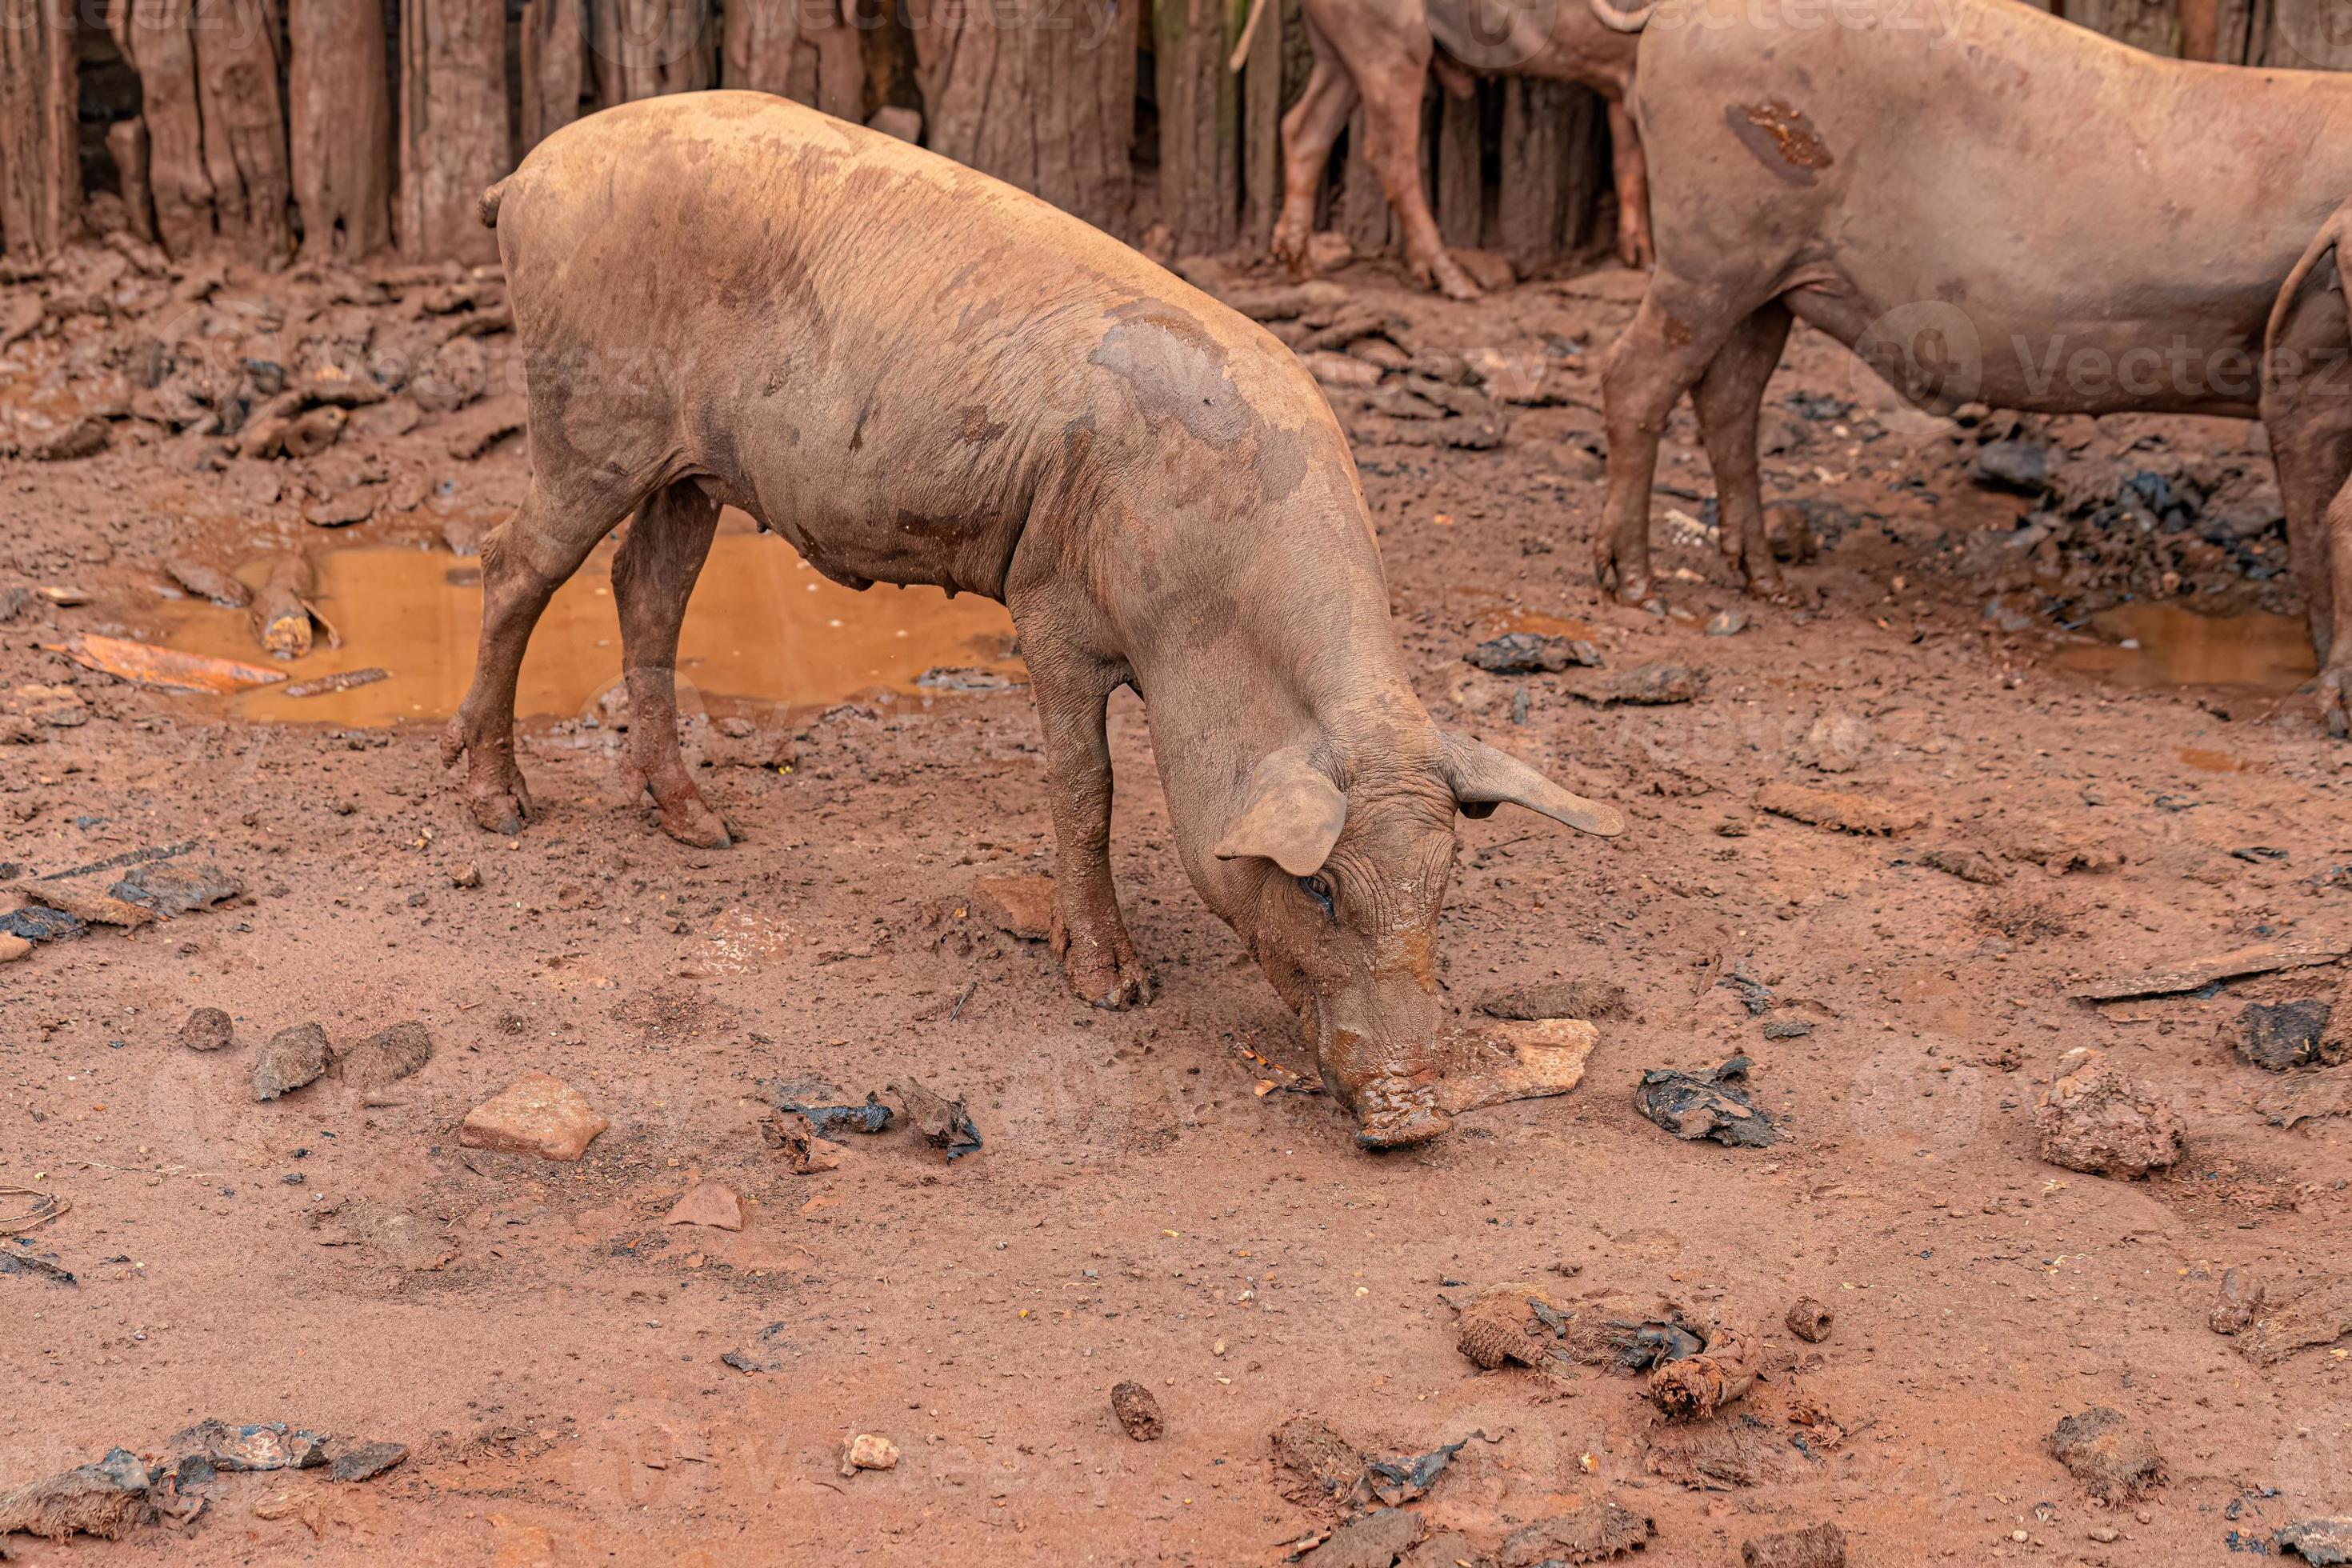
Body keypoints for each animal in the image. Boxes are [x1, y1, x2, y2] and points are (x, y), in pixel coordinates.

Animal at [442, 91, 1626, 1148]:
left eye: (1444, 885)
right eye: (1324, 891)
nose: (1413, 1118)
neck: (1212, 622)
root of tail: (531, 173)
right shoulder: (1050, 599)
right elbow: (1085, 787)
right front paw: (1115, 990)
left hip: (692, 466)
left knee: (646, 587)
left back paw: (702, 826)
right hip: (586, 418)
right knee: (513, 566)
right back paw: (501, 809)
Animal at [1229, 0, 1655, 300]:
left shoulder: (1624, 86)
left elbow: (1630, 160)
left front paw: (1640, 258)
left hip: (1338, 55)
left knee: (1302, 129)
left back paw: (1300, 266)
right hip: (1394, 51)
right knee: (1389, 155)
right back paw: (1457, 283)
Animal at [1595, 0, 2352, 732]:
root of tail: (1671, 14)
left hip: (1769, 280)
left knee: (1729, 399)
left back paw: (1769, 583)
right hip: (1711, 252)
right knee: (1633, 378)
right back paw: (1640, 591)